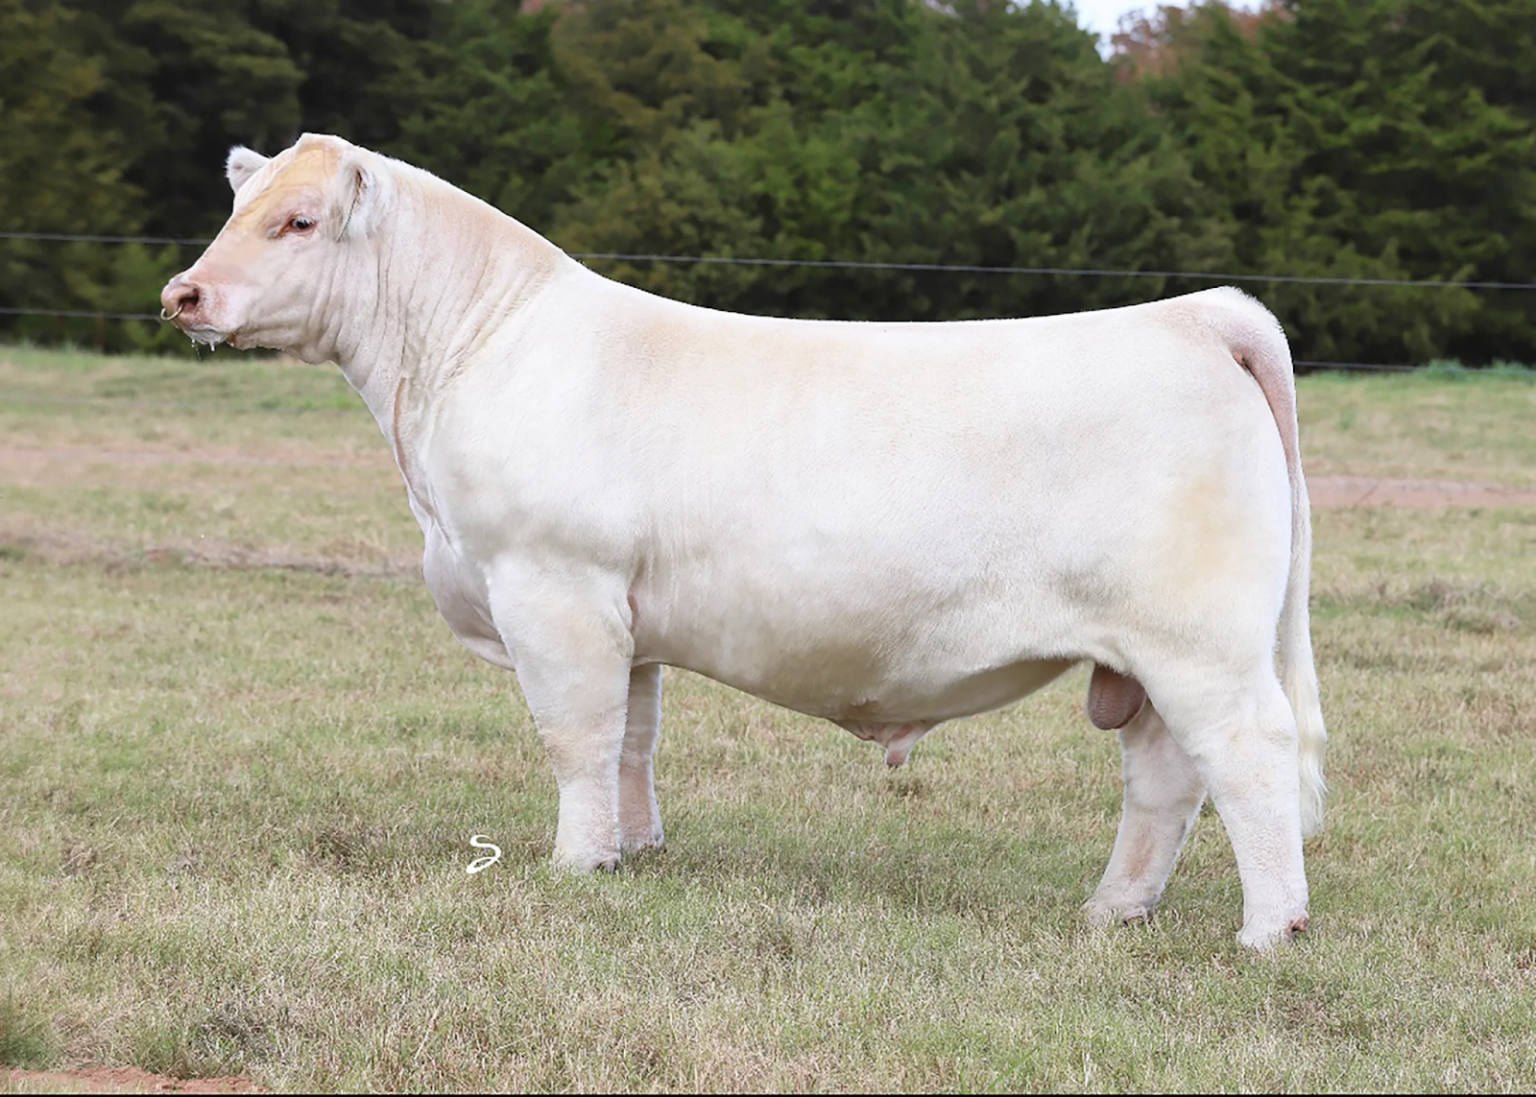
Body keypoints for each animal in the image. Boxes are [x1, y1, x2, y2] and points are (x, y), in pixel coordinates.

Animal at [161, 133, 1327, 949]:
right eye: (237, 208)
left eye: (299, 220)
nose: (184, 293)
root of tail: (1192, 315)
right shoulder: (623, 611)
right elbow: (632, 738)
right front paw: (632, 851)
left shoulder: (552, 584)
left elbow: (576, 736)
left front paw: (572, 864)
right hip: (1149, 656)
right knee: (1165, 778)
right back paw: (1112, 910)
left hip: (1202, 643)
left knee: (1250, 757)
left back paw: (1268, 930)